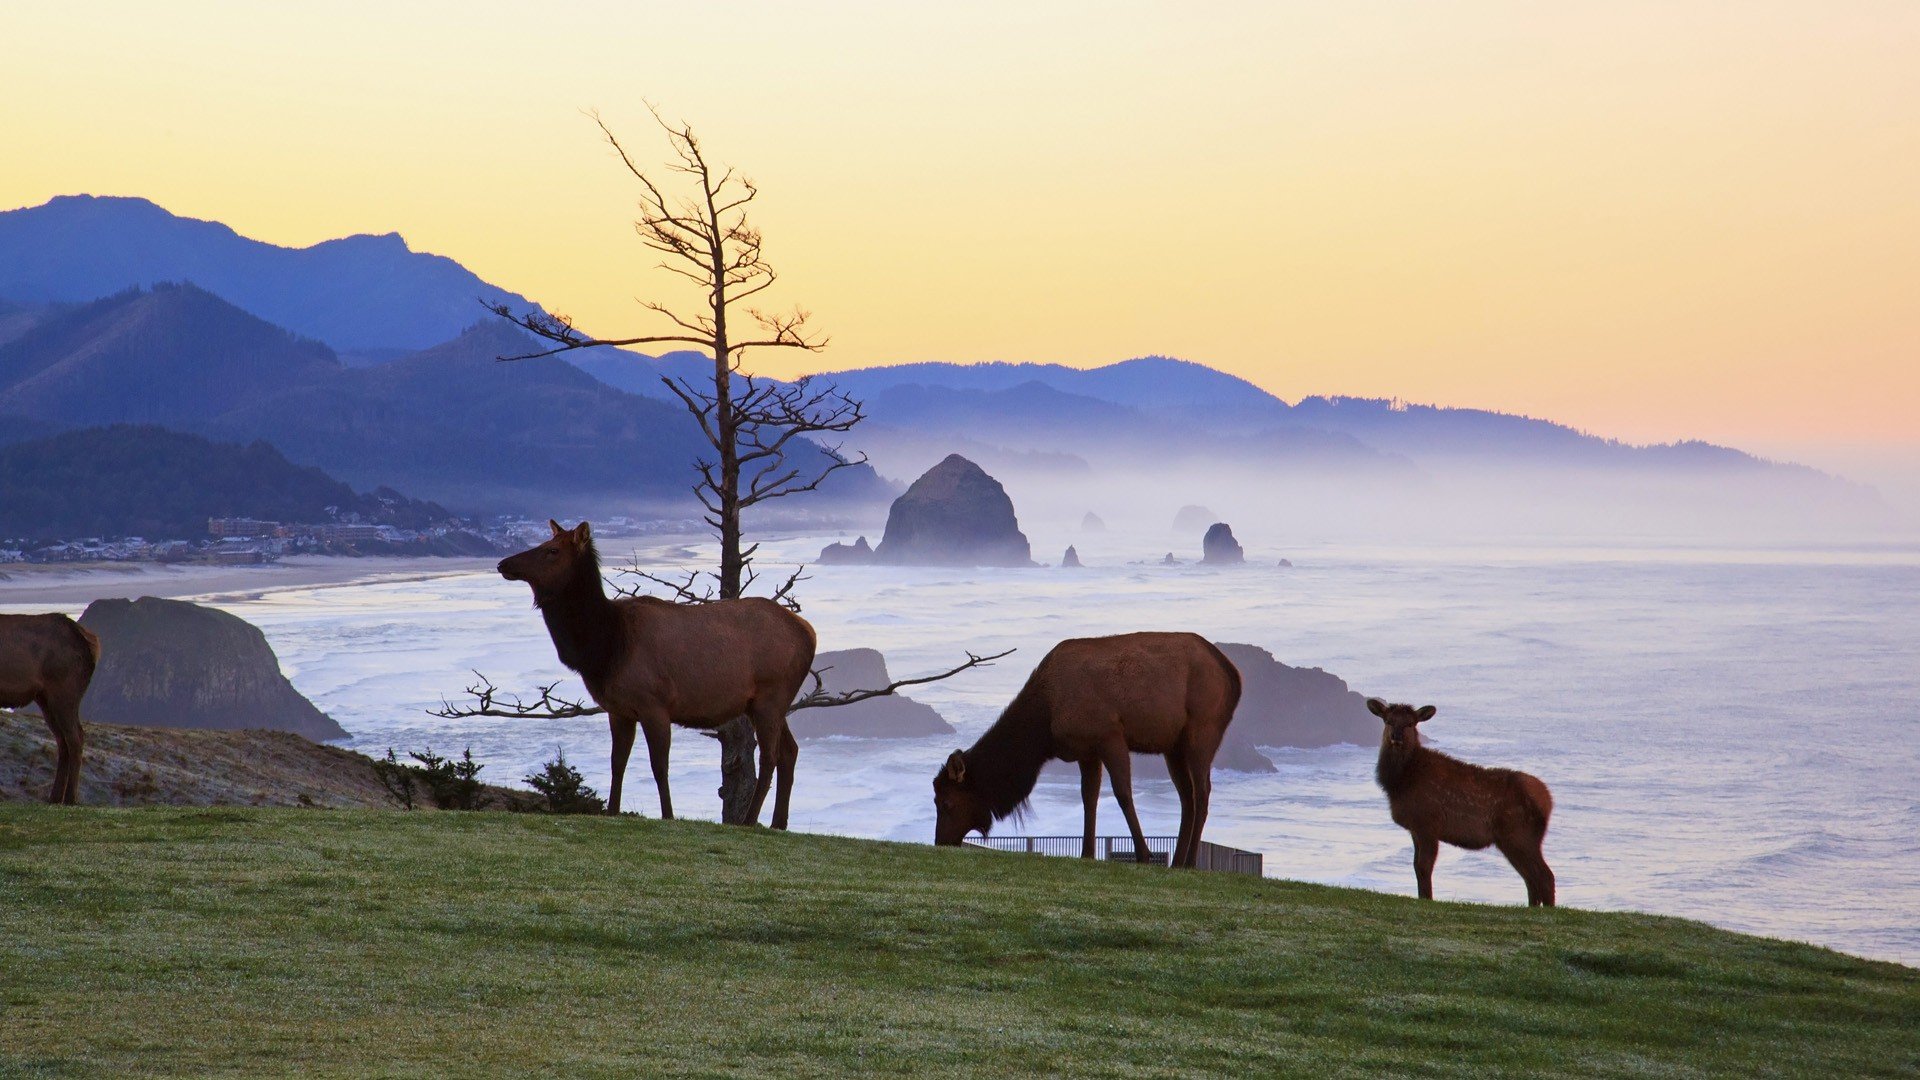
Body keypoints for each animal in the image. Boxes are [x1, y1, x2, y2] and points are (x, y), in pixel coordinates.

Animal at [0, 613, 101, 804]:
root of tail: (92, 645)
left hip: (64, 693)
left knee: (76, 737)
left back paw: (70, 798)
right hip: (46, 700)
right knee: (63, 740)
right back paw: (55, 797)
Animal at [498, 521, 817, 826]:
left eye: (552, 550)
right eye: (543, 542)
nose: (503, 563)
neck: (606, 649)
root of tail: (809, 633)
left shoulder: (654, 703)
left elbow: (659, 765)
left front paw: (668, 814)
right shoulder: (619, 709)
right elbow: (617, 762)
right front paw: (612, 811)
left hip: (771, 694)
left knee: (769, 757)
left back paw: (750, 821)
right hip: (768, 703)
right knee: (790, 751)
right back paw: (778, 823)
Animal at [1369, 698, 1555, 906]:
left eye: (1410, 723)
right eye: (1388, 721)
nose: (1396, 736)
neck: (1400, 783)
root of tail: (1548, 801)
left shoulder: (1428, 823)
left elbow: (1424, 866)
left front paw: (1427, 898)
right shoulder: (1415, 829)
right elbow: (1416, 866)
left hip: (1520, 835)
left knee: (1544, 876)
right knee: (1531, 877)